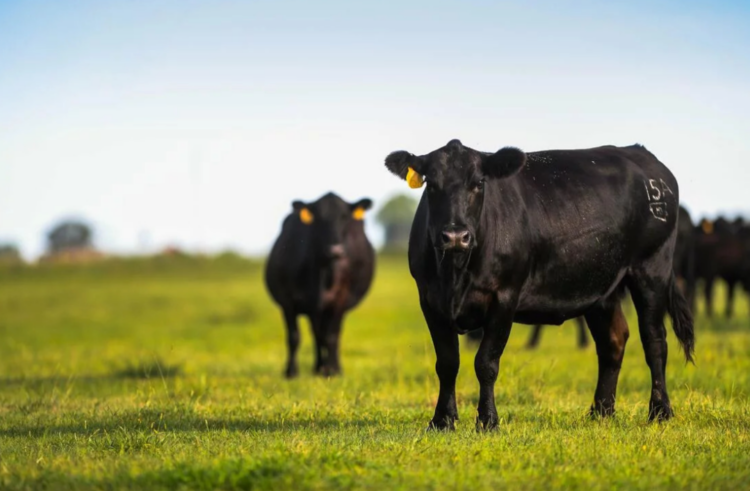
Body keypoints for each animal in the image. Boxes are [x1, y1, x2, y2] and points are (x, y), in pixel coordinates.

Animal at [265, 192, 375, 378]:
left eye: (344, 217)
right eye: (319, 219)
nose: (335, 250)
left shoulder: (339, 299)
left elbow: (331, 336)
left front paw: (332, 371)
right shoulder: (288, 301)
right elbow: (294, 336)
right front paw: (291, 372)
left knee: (329, 334)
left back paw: (330, 367)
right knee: (317, 334)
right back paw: (318, 367)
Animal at [383, 139, 694, 430]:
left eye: (479, 183)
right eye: (431, 184)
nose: (455, 236)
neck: (456, 274)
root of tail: (641, 155)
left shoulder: (504, 297)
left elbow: (486, 363)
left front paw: (488, 420)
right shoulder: (430, 300)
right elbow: (447, 363)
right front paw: (442, 420)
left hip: (651, 269)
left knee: (655, 340)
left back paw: (660, 411)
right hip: (601, 288)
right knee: (613, 341)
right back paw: (601, 411)